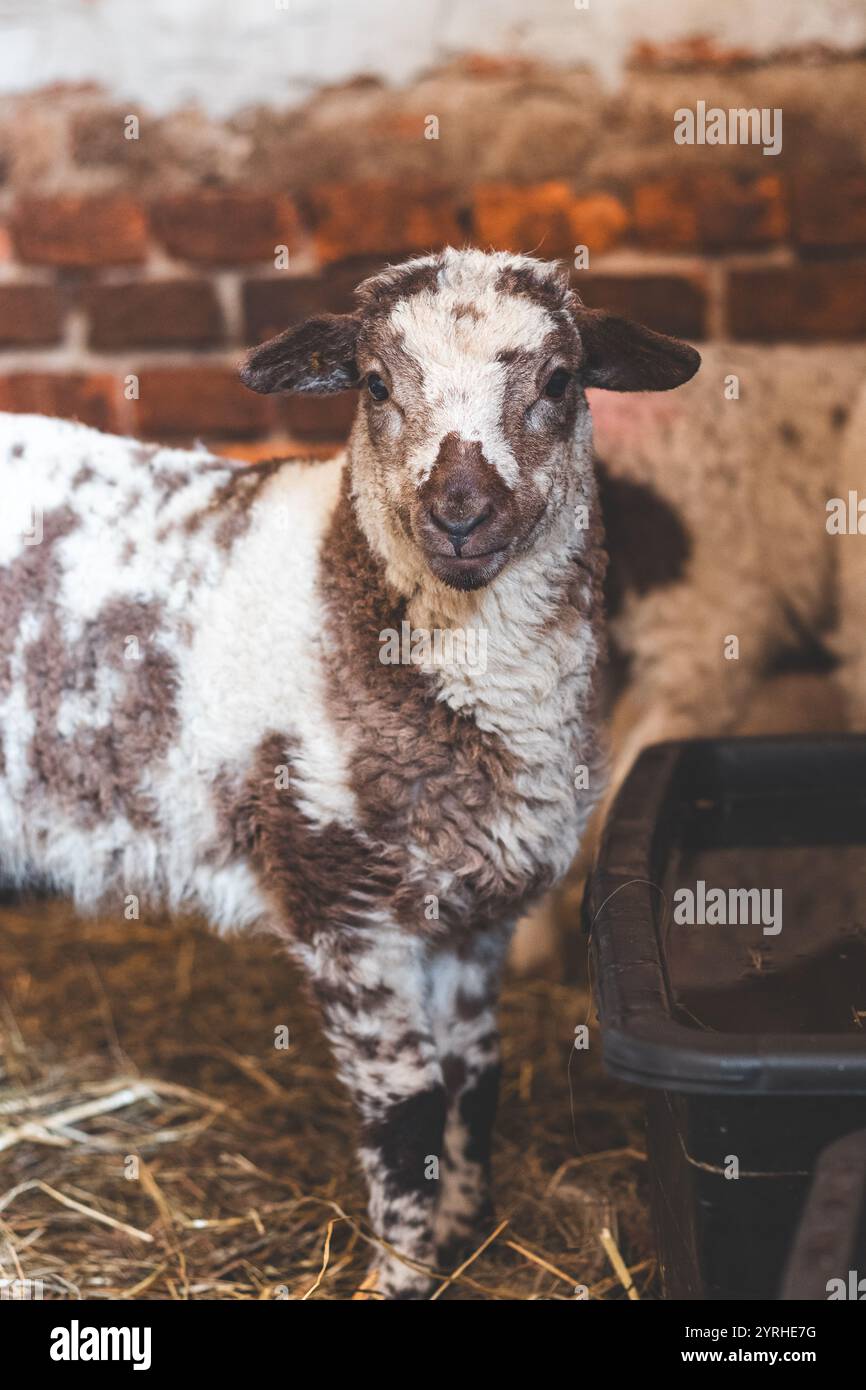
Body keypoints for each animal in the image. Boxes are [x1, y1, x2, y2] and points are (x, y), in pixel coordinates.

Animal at [0, 247, 699, 1298]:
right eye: (374, 384)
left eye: (560, 381)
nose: (460, 513)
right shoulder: (340, 897)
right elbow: (407, 1111)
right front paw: (400, 1274)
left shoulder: (475, 910)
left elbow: (474, 1077)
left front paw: (465, 1230)